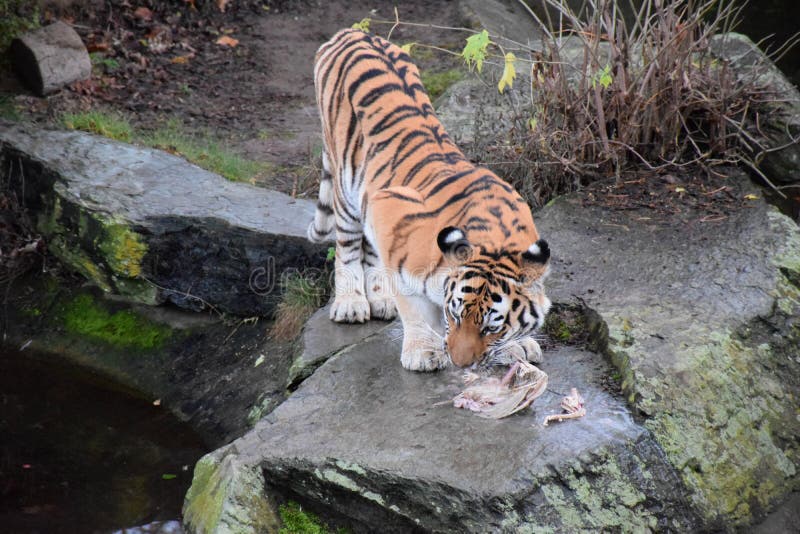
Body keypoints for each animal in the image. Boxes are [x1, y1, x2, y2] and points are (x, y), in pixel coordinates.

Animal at [308, 28, 551, 371]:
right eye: (455, 314)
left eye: (492, 326)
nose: (461, 363)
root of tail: (353, 32)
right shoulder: (393, 221)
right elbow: (415, 309)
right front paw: (422, 353)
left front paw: (520, 345)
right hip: (347, 187)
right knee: (347, 248)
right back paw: (351, 304)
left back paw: (380, 299)